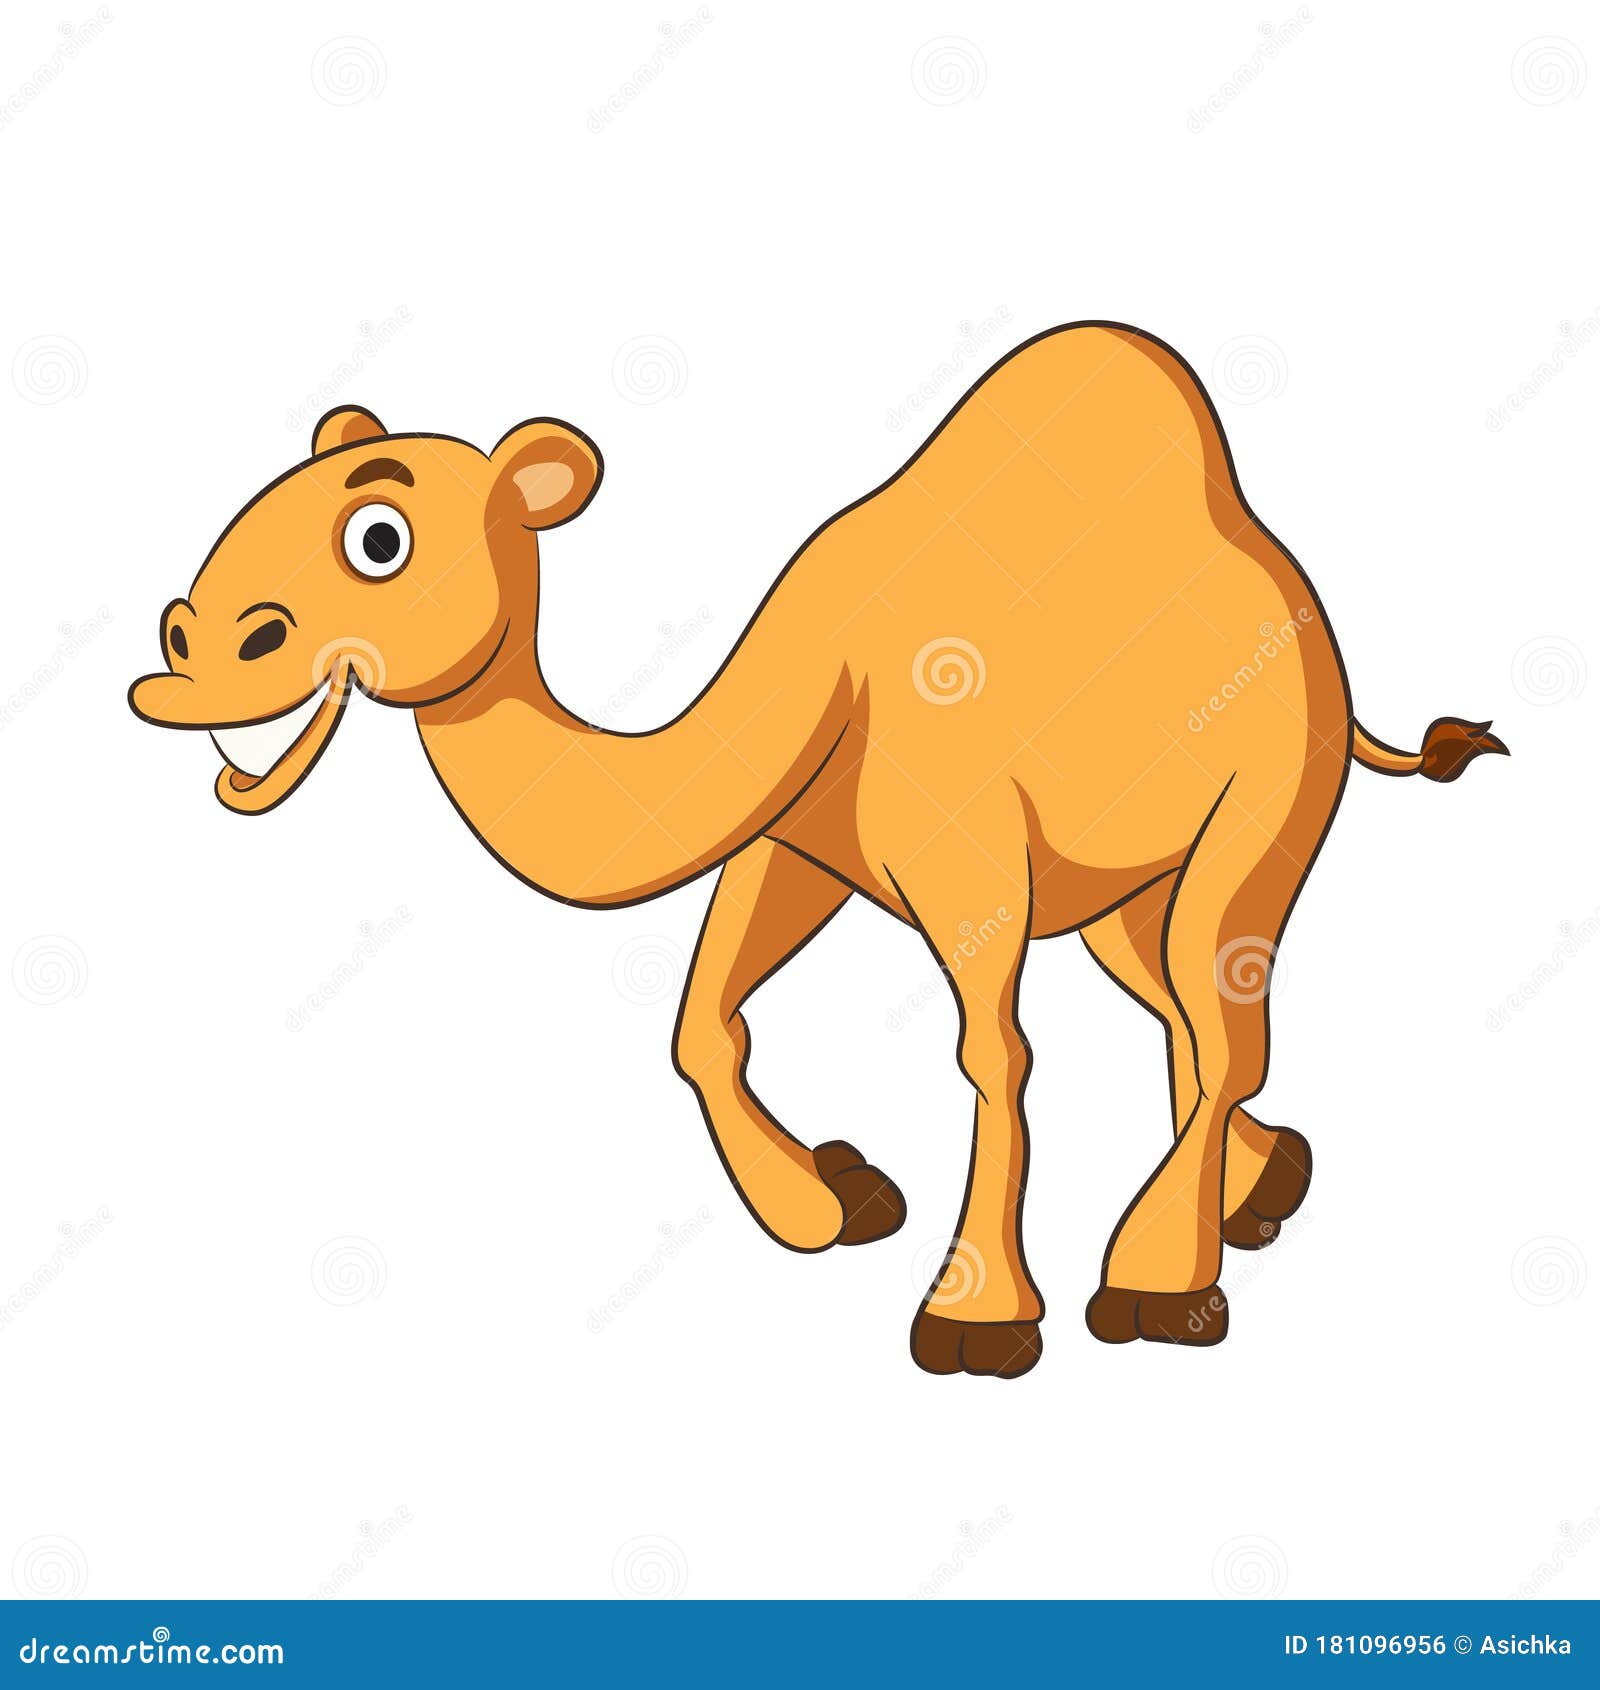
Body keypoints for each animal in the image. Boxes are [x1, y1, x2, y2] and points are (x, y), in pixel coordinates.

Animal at [129, 323, 1506, 1377]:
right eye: (264, 501)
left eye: (380, 537)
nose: (191, 646)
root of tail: (1296, 590)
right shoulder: (800, 840)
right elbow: (703, 1020)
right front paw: (835, 1203)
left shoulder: (964, 851)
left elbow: (993, 1054)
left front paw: (976, 1320)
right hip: (1133, 876)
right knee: (1180, 1003)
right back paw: (1254, 1197)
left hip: (1273, 785)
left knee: (1220, 1012)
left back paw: (1159, 1287)